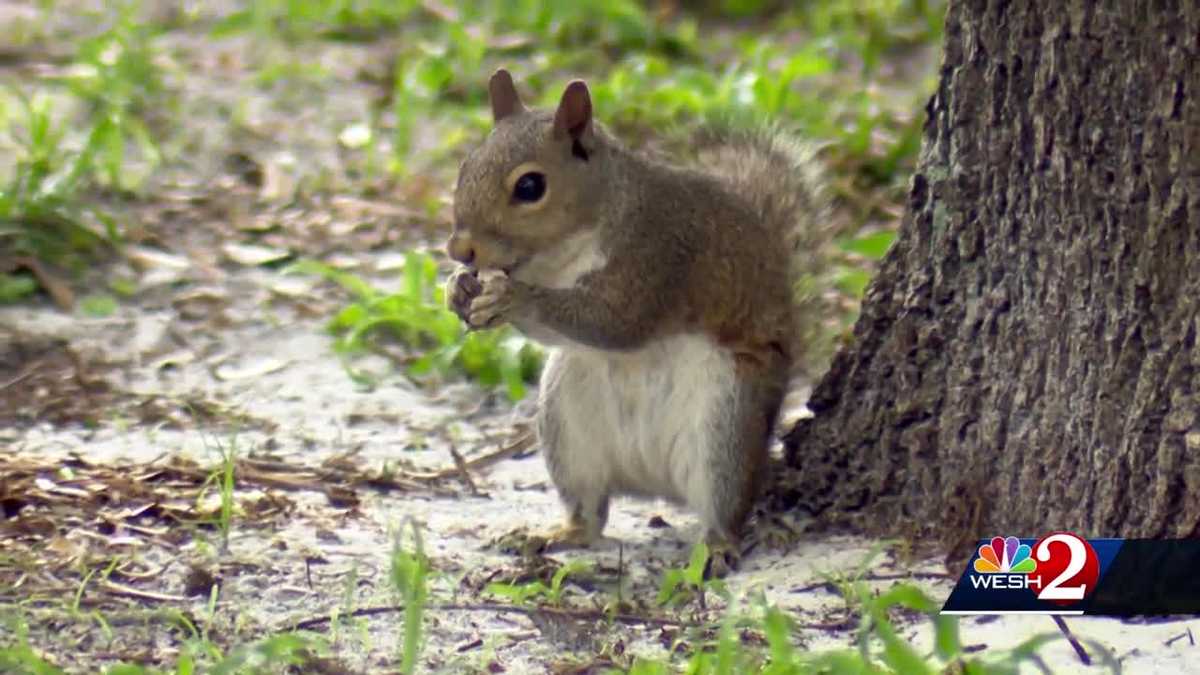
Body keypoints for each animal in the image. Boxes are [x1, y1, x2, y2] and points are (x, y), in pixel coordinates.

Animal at [444, 69, 828, 573]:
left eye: (530, 187)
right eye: (465, 167)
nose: (459, 250)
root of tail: (656, 485)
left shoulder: (656, 256)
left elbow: (615, 321)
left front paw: (513, 297)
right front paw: (458, 289)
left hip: (725, 418)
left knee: (725, 504)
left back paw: (717, 545)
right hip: (568, 423)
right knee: (589, 513)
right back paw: (555, 533)